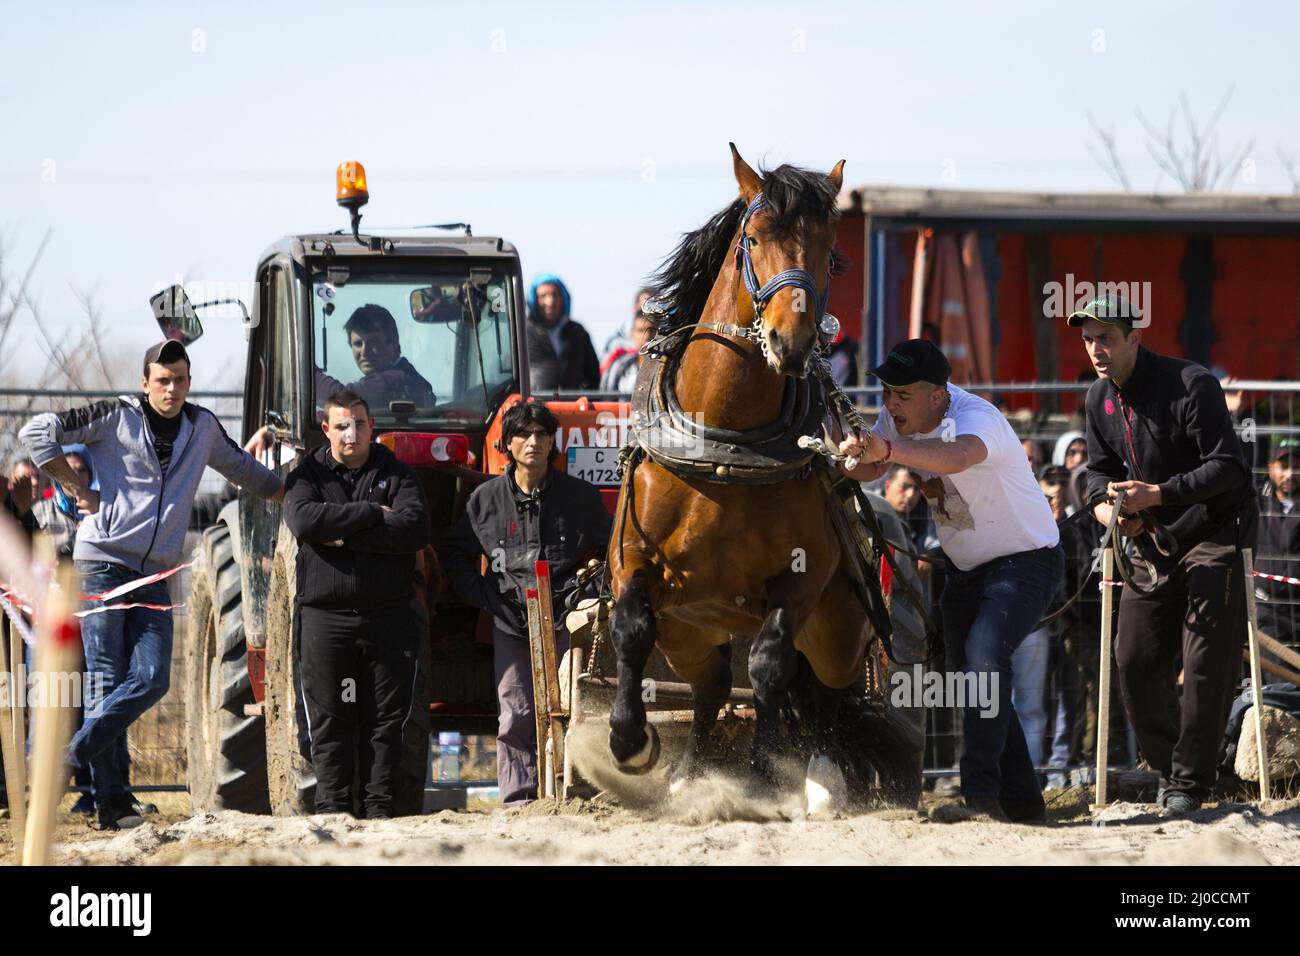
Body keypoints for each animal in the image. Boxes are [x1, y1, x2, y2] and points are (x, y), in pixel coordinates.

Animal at [605, 145, 918, 810]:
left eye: (829, 248)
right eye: (753, 237)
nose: (791, 340)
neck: (724, 440)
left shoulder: (801, 579)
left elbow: (772, 666)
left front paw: (760, 775)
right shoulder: (633, 559)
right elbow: (631, 629)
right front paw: (629, 742)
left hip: (840, 629)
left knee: (823, 694)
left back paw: (820, 777)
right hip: (690, 632)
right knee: (712, 686)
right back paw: (690, 771)